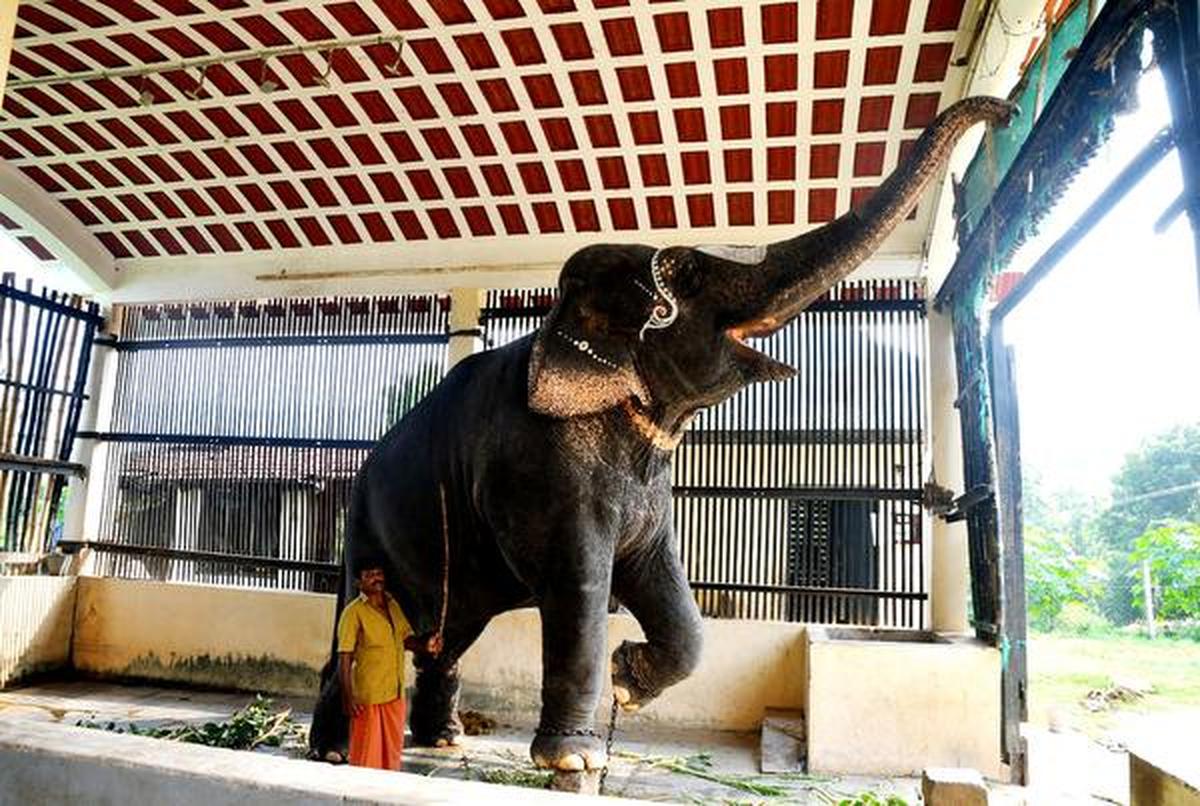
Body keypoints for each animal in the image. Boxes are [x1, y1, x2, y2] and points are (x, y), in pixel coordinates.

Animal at [309, 96, 1017, 772]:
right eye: (691, 278)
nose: (1005, 112)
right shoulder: (543, 473)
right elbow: (580, 585)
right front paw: (576, 757)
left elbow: (665, 583)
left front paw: (627, 682)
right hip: (365, 526)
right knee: (361, 621)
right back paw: (335, 751)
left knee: (445, 637)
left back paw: (443, 741)